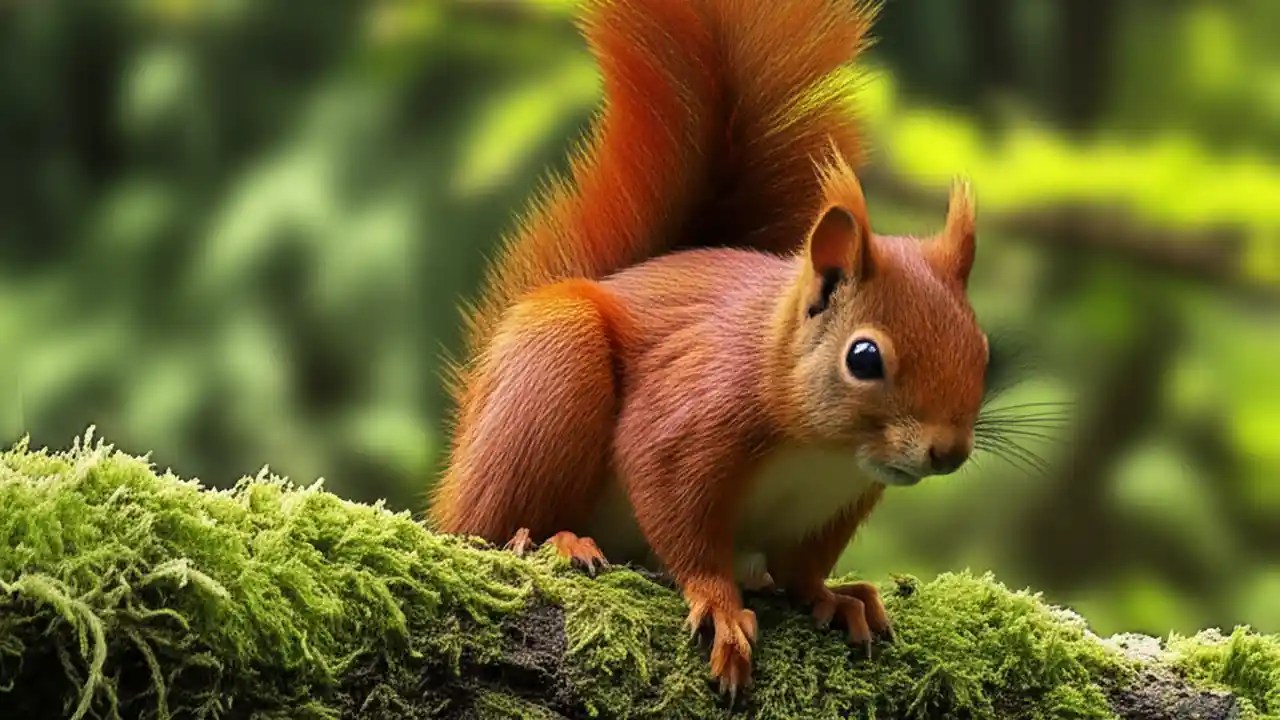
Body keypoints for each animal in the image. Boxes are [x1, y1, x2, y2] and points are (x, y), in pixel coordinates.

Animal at [430, 0, 988, 696]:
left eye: (982, 346)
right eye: (864, 357)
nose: (949, 452)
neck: (822, 452)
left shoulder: (835, 503)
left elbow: (804, 568)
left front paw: (833, 597)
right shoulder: (687, 417)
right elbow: (679, 519)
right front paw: (720, 605)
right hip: (552, 371)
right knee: (490, 526)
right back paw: (554, 540)